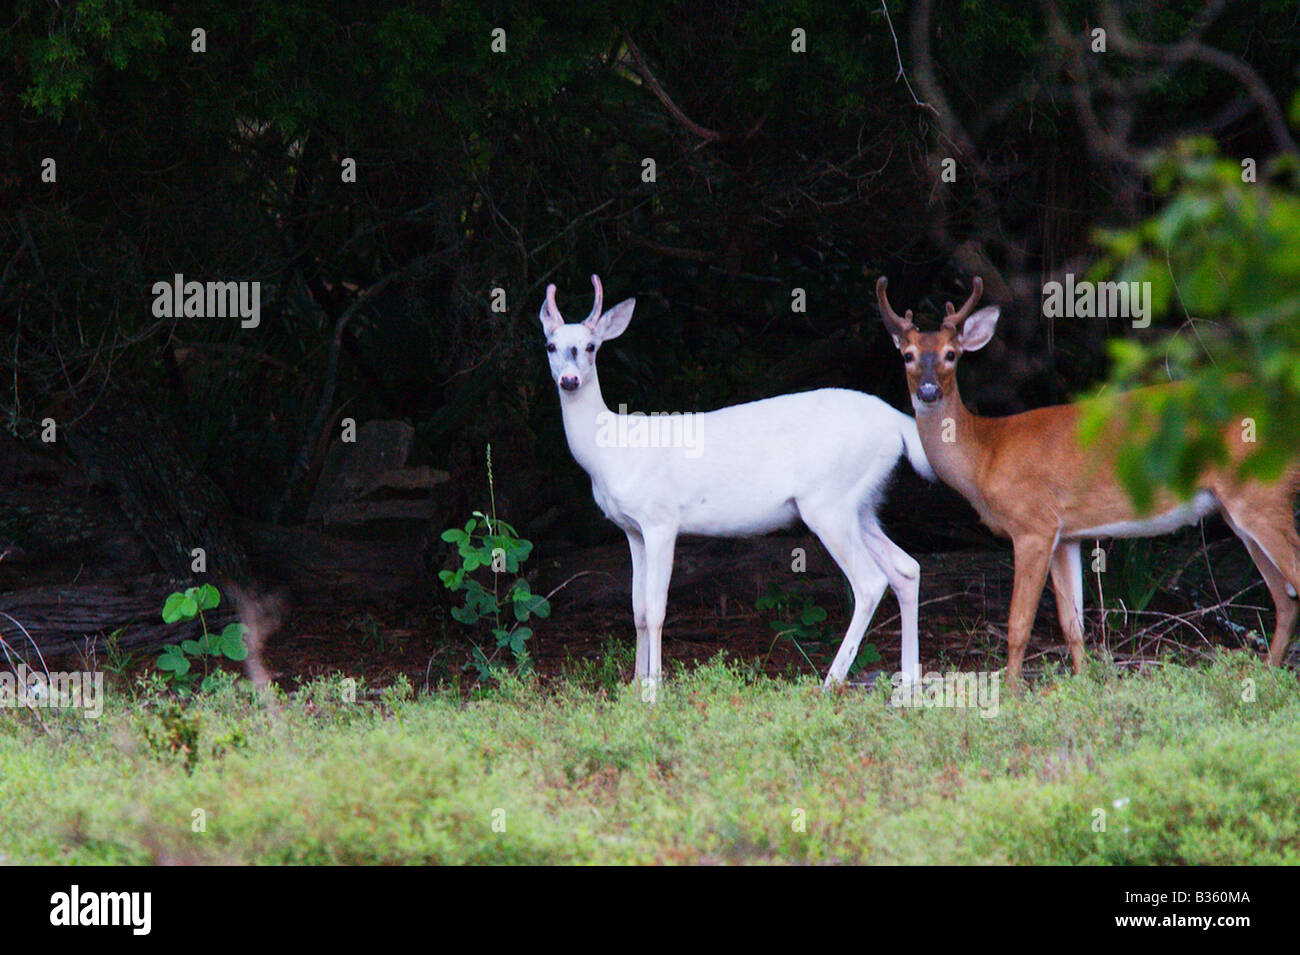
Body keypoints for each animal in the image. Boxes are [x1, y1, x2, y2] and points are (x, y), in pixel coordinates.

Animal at [540, 274, 936, 700]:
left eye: (591, 346)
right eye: (550, 345)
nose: (569, 380)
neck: (611, 449)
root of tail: (896, 421)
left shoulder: (661, 519)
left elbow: (657, 608)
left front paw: (654, 692)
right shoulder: (631, 529)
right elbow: (637, 610)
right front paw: (634, 685)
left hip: (829, 501)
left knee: (869, 582)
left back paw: (829, 683)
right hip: (860, 505)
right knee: (906, 568)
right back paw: (908, 684)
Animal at [877, 274, 1300, 681]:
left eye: (951, 354)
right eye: (907, 355)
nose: (928, 390)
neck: (985, 455)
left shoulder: (1032, 525)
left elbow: (1019, 623)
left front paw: (1012, 690)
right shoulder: (1066, 534)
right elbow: (1071, 623)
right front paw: (1083, 683)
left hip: (1262, 494)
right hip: (1236, 508)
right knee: (1284, 597)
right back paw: (1267, 671)